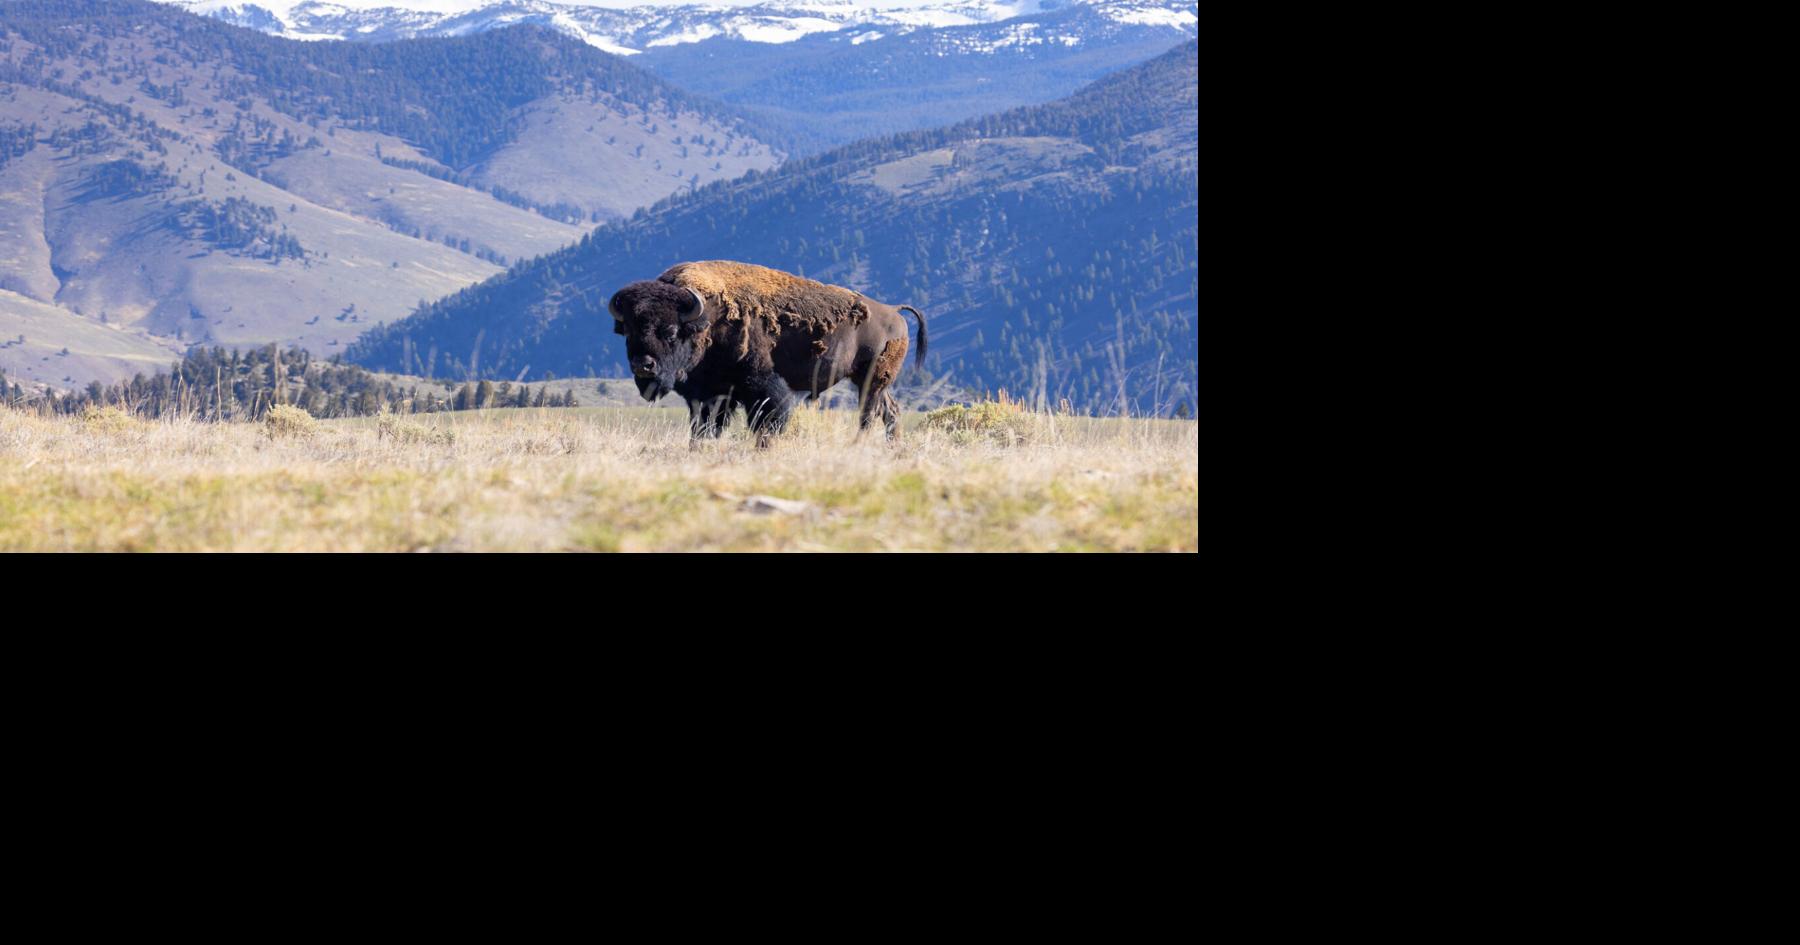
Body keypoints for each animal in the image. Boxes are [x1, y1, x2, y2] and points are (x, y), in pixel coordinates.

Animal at [608, 261, 927, 445]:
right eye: (629, 332)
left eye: (671, 332)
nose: (643, 365)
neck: (705, 321)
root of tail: (893, 312)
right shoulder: (710, 396)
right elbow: (705, 429)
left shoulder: (762, 388)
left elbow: (767, 423)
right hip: (875, 382)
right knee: (890, 411)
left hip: (870, 380)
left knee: (868, 414)